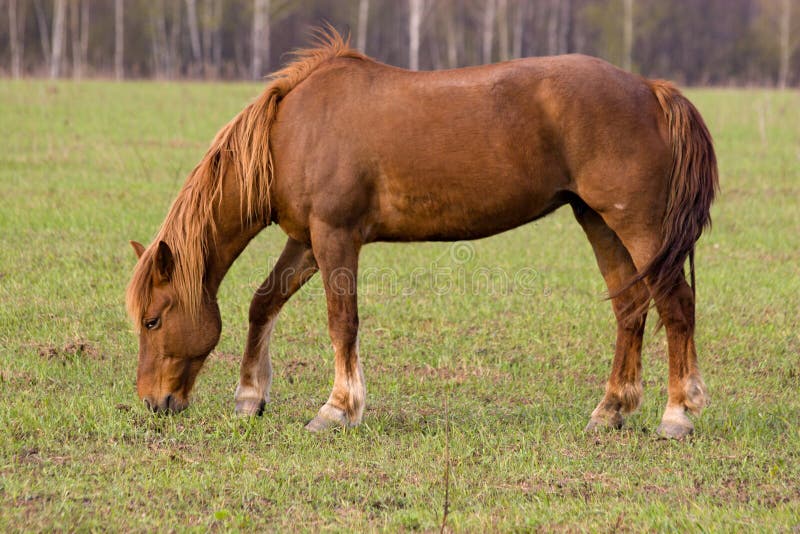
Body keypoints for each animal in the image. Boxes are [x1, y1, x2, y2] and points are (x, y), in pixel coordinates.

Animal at [126, 29, 717, 439]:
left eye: (153, 320)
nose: (153, 403)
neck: (290, 131)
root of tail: (651, 90)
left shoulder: (336, 236)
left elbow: (342, 321)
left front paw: (337, 409)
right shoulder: (307, 240)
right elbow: (263, 302)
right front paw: (250, 396)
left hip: (639, 226)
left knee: (675, 306)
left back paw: (676, 416)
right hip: (598, 221)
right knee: (630, 308)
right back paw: (610, 411)